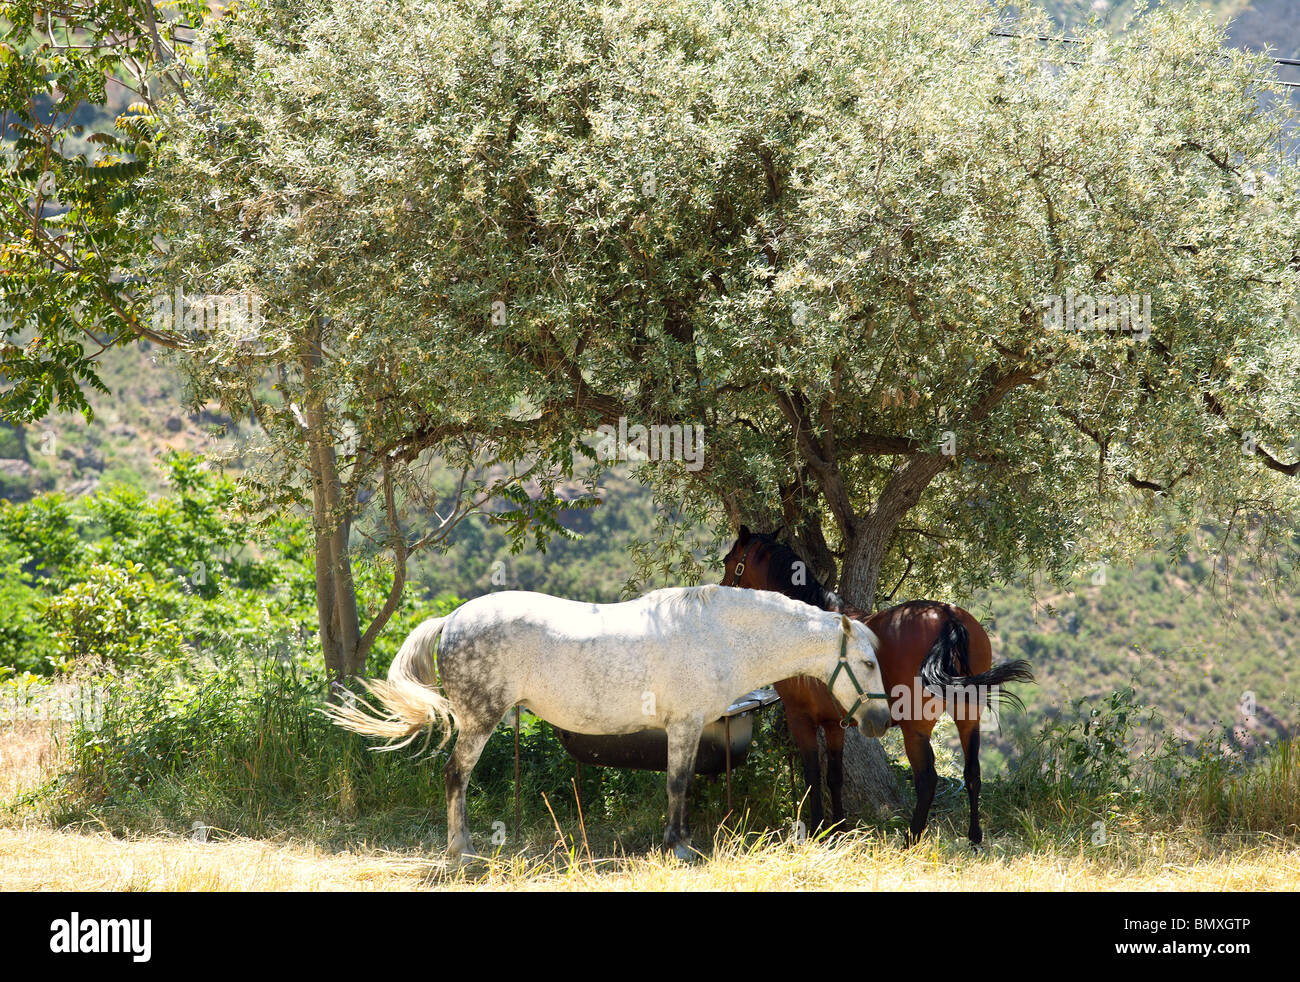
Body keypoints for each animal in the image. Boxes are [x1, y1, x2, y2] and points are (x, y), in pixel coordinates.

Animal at [324, 584, 892, 862]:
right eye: (867, 663)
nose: (882, 720)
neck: (718, 635)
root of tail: (453, 620)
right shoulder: (684, 726)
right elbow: (678, 784)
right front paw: (679, 846)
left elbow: (681, 784)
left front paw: (679, 841)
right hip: (479, 721)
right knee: (455, 777)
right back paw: (461, 852)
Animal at [722, 526, 1034, 848]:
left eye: (728, 561)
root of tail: (948, 618)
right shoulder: (833, 723)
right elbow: (834, 776)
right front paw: (838, 830)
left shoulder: (801, 718)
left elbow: (812, 777)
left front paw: (818, 829)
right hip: (968, 715)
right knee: (972, 773)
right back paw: (973, 837)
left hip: (916, 725)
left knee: (927, 779)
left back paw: (911, 839)